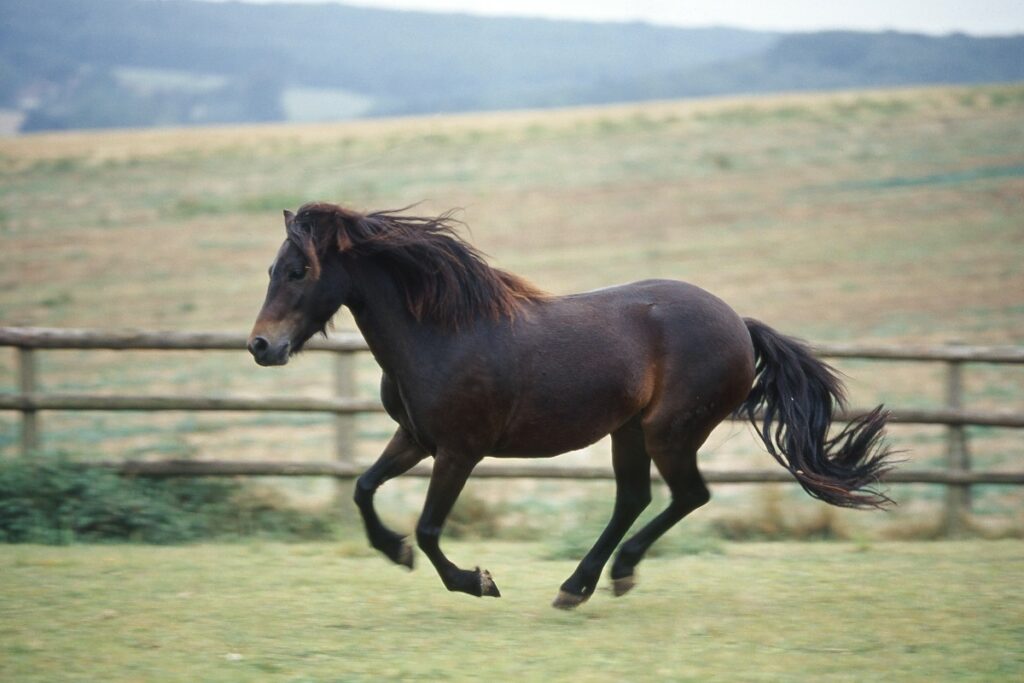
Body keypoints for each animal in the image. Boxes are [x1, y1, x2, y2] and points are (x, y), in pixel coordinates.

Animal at [248, 202, 893, 609]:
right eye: (272, 268)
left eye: (300, 270)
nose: (261, 346)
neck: (439, 333)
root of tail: (740, 323)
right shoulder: (415, 439)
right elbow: (362, 489)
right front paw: (394, 550)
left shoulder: (460, 451)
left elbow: (430, 529)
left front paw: (477, 582)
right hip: (628, 431)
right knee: (635, 498)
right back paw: (579, 586)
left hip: (669, 432)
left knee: (688, 495)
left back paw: (610, 576)